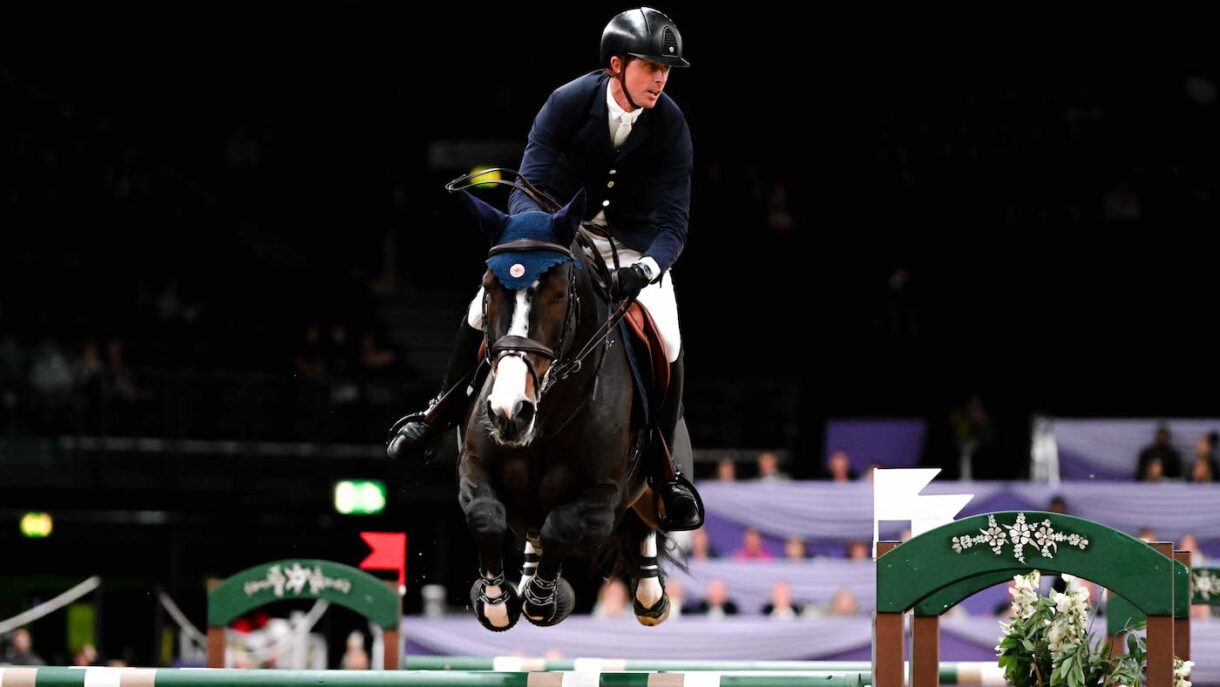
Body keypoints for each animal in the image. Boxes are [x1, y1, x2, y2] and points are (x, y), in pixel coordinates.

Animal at [451, 182, 685, 631]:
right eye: (489, 289)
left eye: (559, 294)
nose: (510, 412)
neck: (548, 416)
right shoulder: (474, 467)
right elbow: (485, 516)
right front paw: (496, 602)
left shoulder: (604, 498)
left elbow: (562, 526)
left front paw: (543, 601)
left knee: (647, 522)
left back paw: (650, 595)